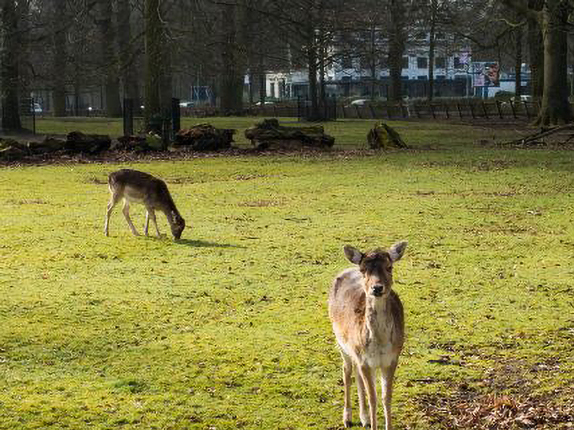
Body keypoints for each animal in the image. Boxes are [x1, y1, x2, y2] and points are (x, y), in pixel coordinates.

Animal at [328, 242, 410, 430]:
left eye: (389, 267)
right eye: (363, 270)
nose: (377, 288)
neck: (380, 344)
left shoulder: (392, 359)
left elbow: (386, 398)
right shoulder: (364, 360)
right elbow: (373, 399)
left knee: (357, 375)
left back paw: (364, 418)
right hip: (341, 342)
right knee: (347, 370)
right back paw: (347, 418)